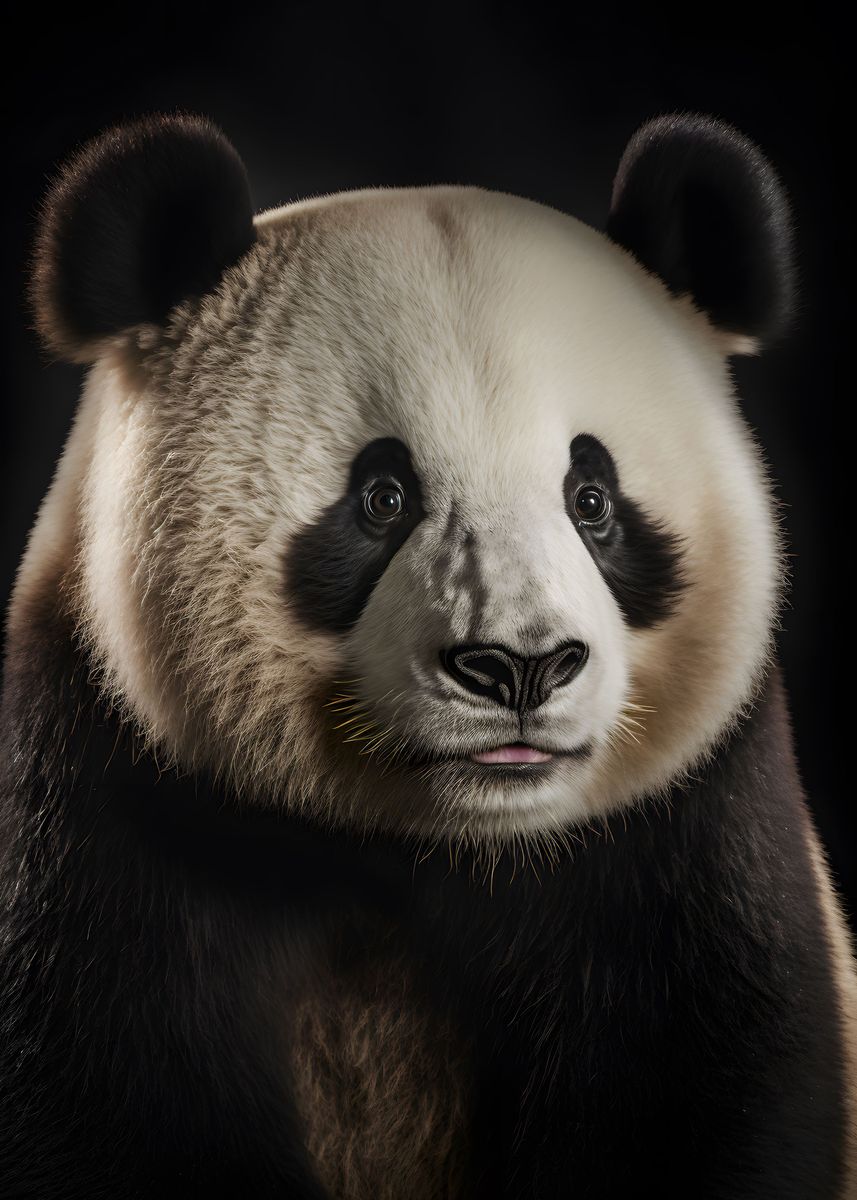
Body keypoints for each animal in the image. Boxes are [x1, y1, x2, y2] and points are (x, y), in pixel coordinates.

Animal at [1, 110, 854, 1199]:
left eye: (592, 499)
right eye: (382, 497)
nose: (519, 666)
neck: (431, 850)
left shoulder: (692, 847)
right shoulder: (97, 808)